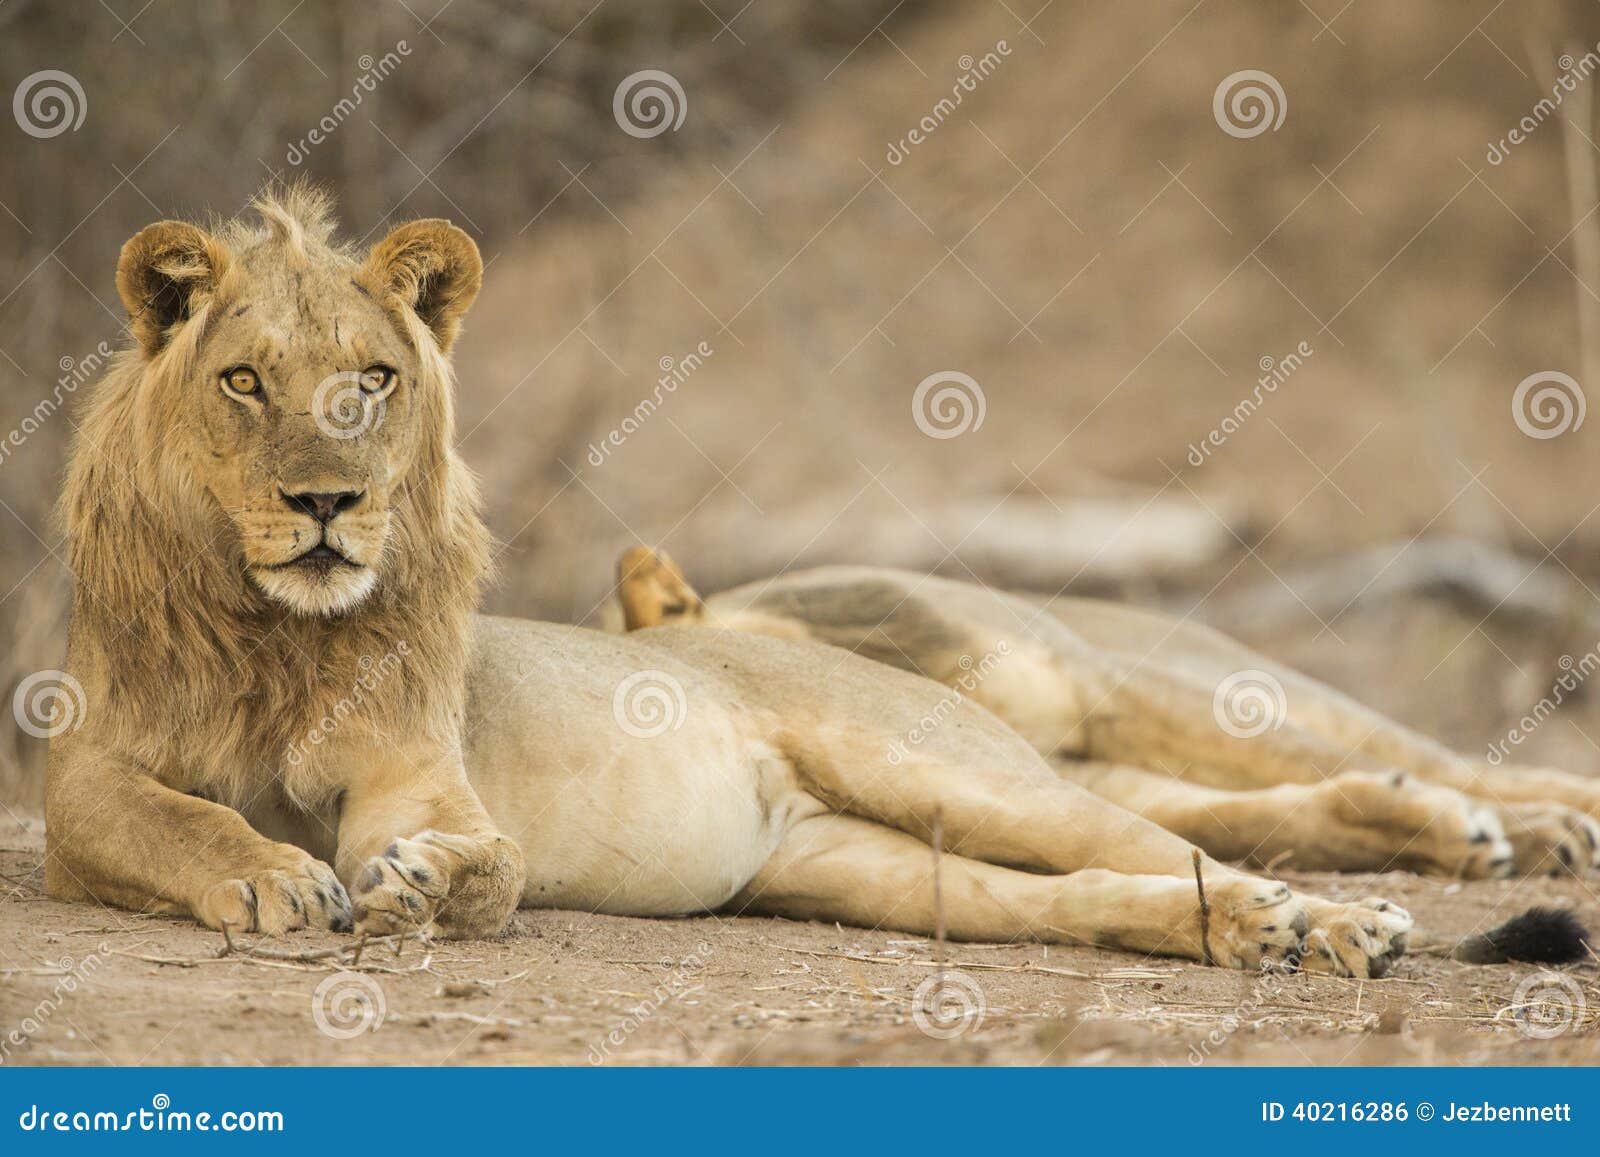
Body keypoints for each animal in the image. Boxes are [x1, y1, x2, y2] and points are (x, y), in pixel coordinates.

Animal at [615, 549, 1600, 880]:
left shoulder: (1103, 685)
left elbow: (1313, 761)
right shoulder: (1075, 756)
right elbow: (1275, 803)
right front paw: (1464, 828)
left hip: (1234, 673)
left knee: (1426, 753)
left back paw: (1547, 818)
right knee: (1275, 809)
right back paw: (1468, 832)